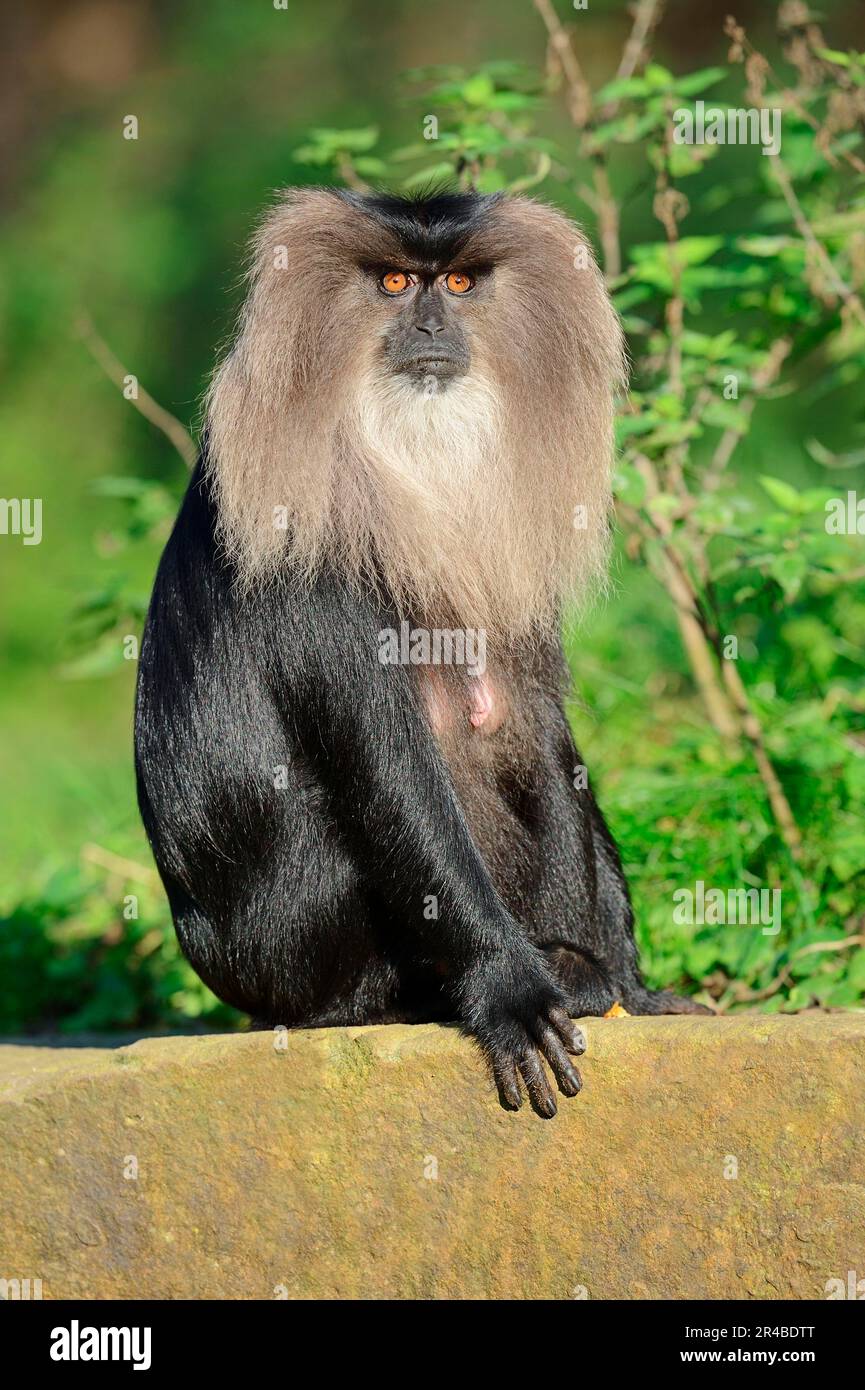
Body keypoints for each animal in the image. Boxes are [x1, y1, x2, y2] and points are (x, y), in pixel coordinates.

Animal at [134, 188, 707, 1120]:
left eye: (461, 284)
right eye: (397, 283)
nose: (433, 326)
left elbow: (539, 739)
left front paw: (619, 979)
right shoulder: (314, 542)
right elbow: (388, 770)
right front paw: (512, 991)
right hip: (289, 955)